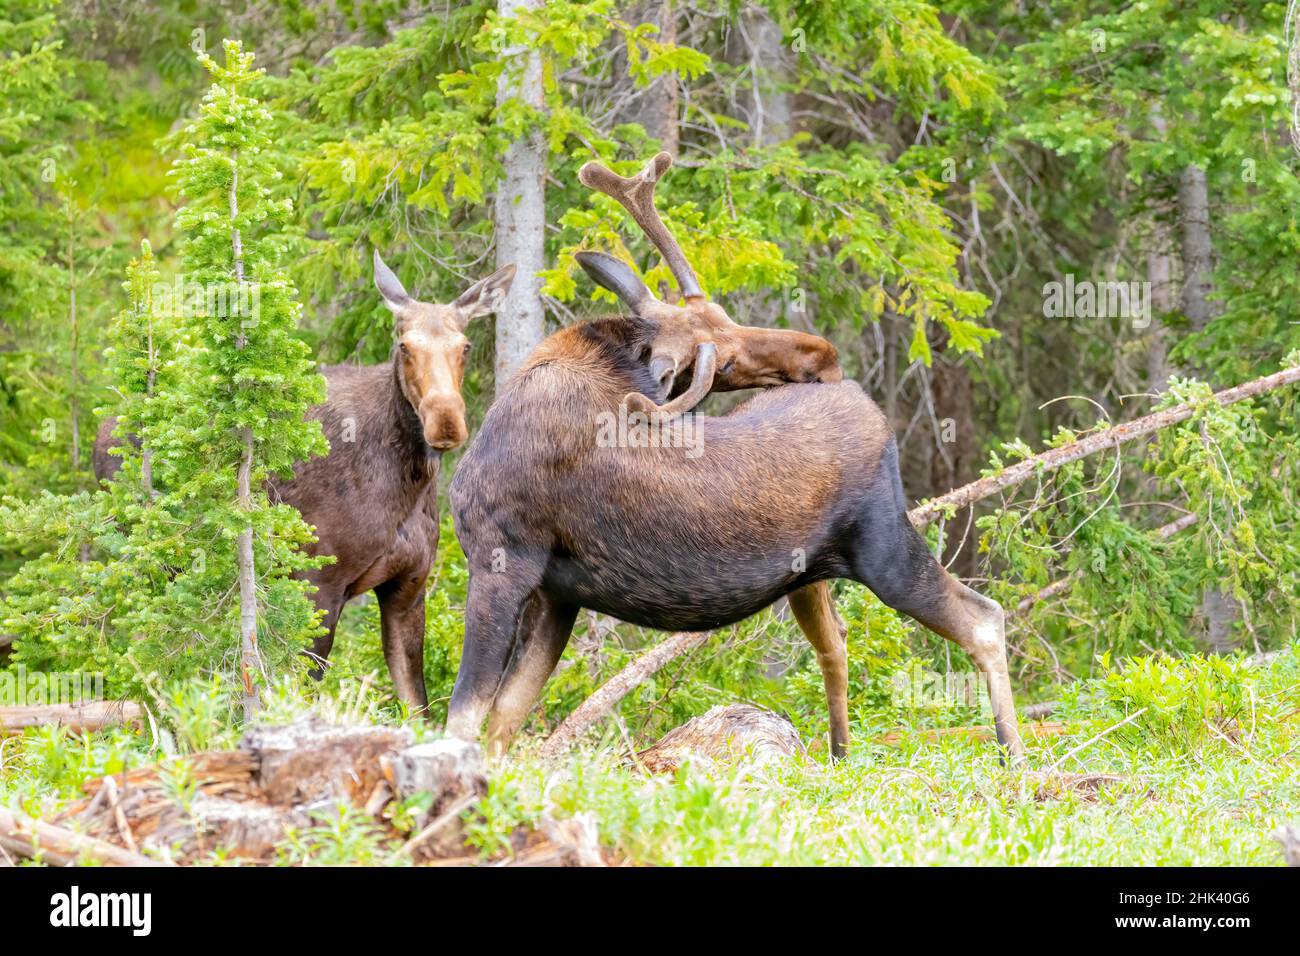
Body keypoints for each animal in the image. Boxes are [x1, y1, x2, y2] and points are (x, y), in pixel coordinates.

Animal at [93, 253, 516, 713]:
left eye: (465, 346)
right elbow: (305, 690)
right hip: (141, 556)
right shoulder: (318, 584)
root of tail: (105, 428)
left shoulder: (408, 586)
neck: (406, 487)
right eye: (404, 345)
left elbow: (415, 704)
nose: (446, 422)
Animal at [444, 152, 1025, 763]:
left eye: (725, 318)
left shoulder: (505, 561)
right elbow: (501, 721)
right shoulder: (552, 592)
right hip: (815, 573)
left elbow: (466, 717)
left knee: (984, 618)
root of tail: (867, 405)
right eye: (721, 360)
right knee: (838, 642)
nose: (823, 355)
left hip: (884, 547)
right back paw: (841, 755)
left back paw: (1013, 755)